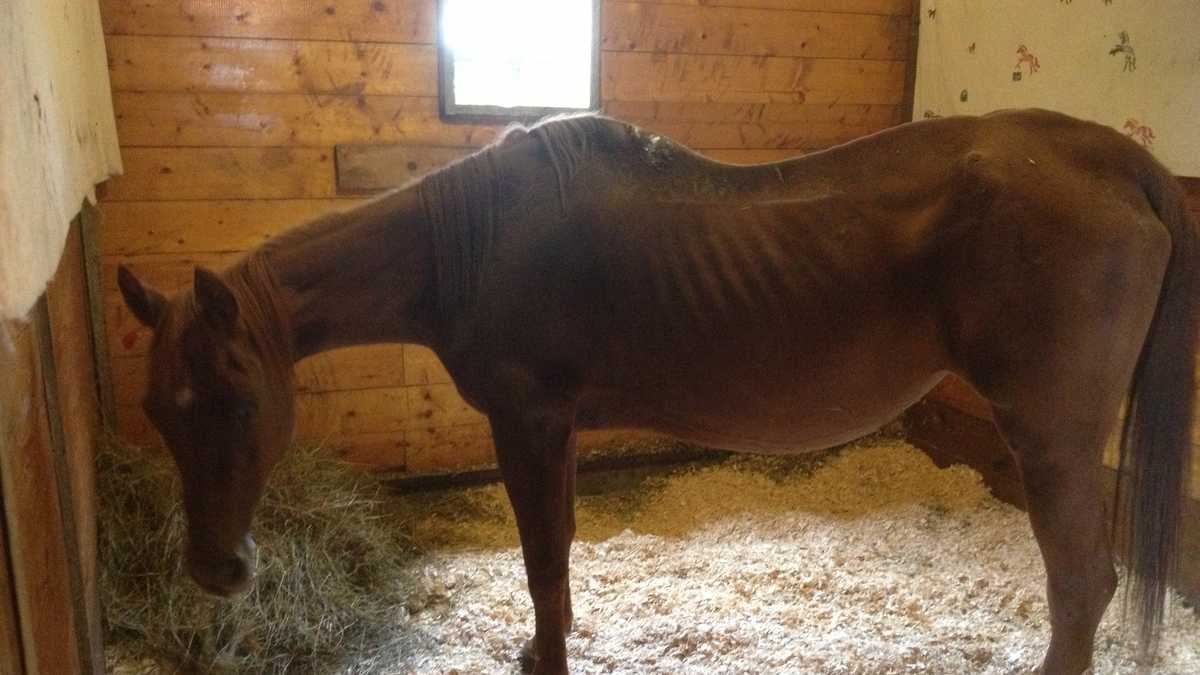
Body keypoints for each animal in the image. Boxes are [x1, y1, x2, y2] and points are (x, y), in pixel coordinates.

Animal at [117, 108, 1196, 675]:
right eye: (158, 412)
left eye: (238, 403)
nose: (216, 571)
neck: (474, 247)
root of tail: (1113, 157)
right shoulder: (551, 430)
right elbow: (554, 558)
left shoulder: (529, 422)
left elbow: (543, 559)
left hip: (1051, 438)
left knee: (1080, 585)